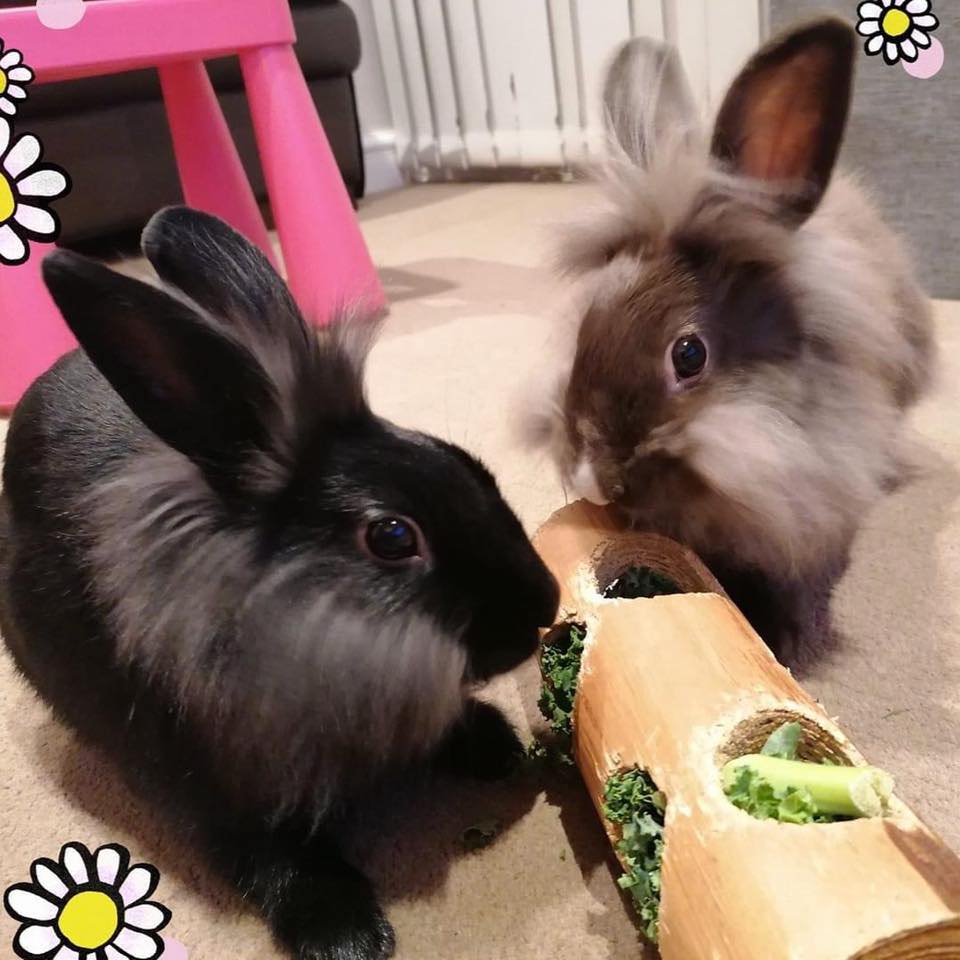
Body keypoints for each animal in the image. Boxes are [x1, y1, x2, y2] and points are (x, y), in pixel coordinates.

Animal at [0, 206, 560, 960]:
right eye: (393, 537)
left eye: (464, 462)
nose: (545, 603)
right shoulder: (221, 796)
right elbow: (276, 859)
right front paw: (347, 937)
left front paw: (495, 746)